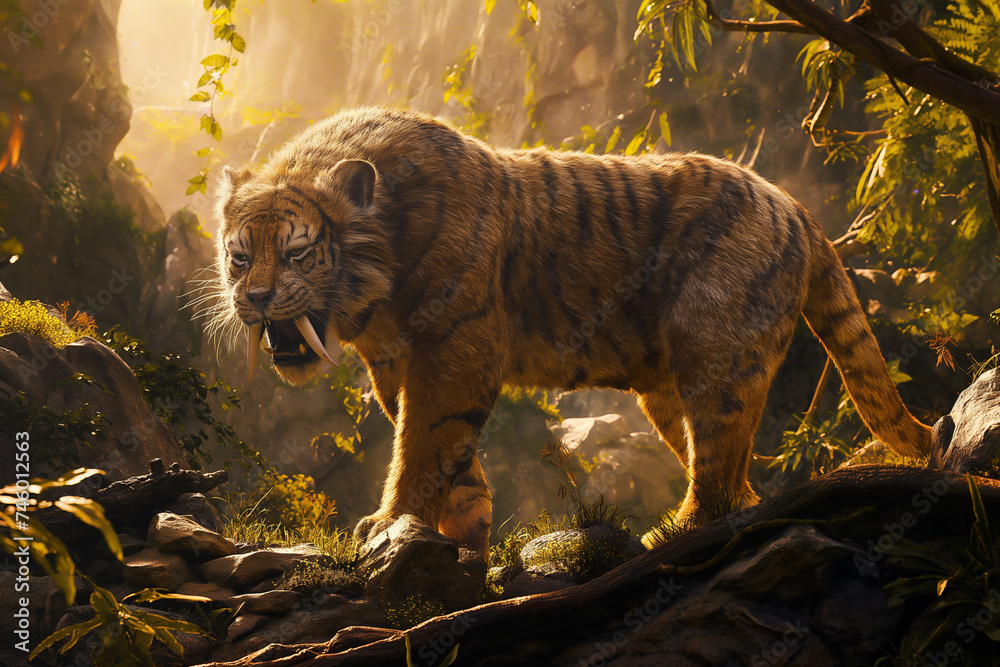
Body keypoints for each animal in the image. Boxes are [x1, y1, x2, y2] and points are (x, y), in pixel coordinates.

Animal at [214, 105, 932, 559]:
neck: (375, 288)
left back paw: (667, 536)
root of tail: (793, 205)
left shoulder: (456, 344)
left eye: (298, 253)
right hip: (668, 390)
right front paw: (465, 530)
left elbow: (423, 439)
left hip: (717, 352)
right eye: (240, 256)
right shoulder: (395, 359)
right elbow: (444, 446)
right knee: (737, 483)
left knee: (722, 472)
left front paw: (391, 524)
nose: (255, 298)